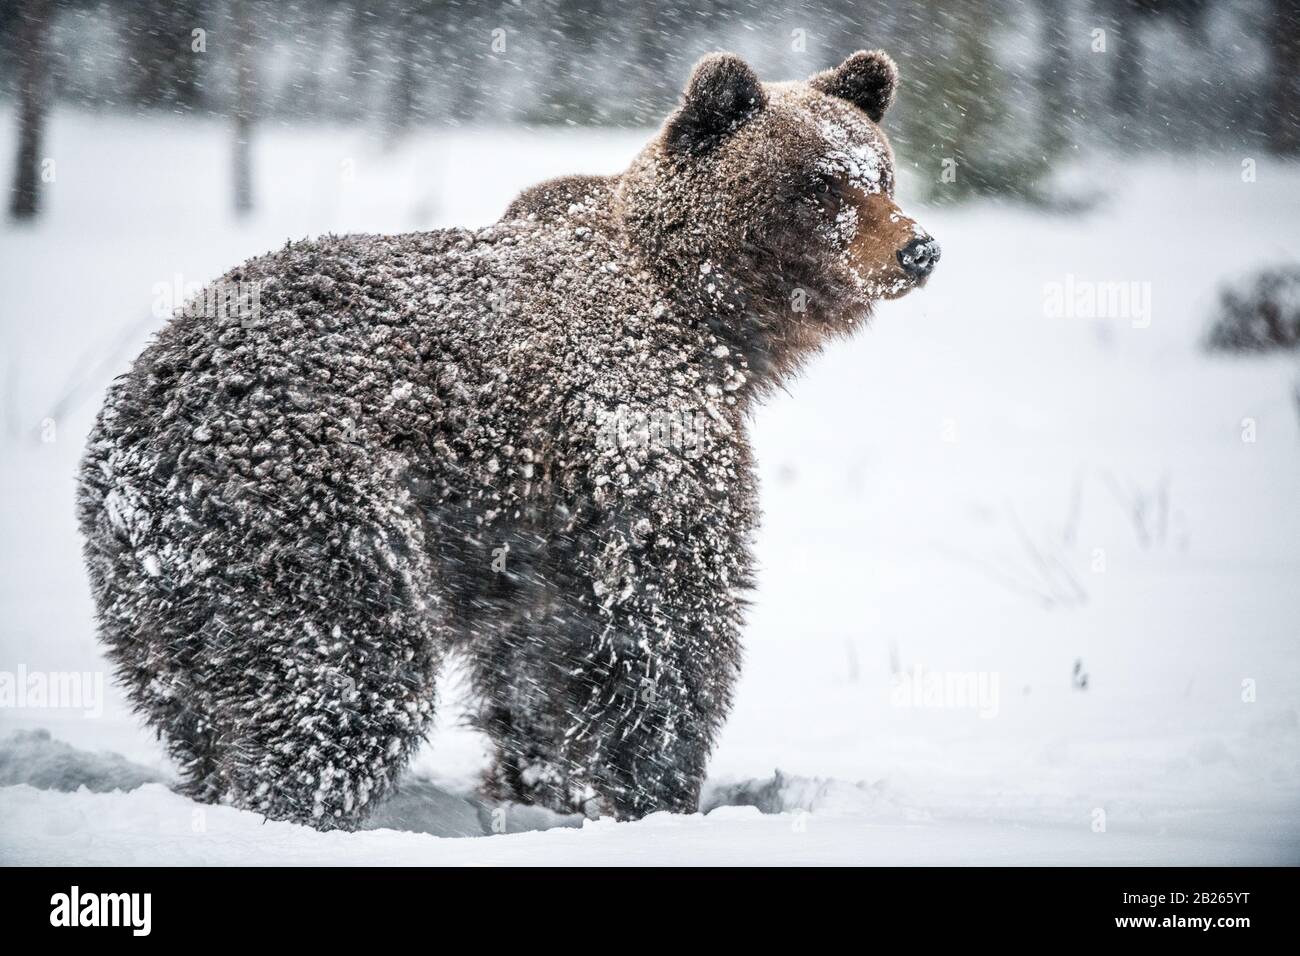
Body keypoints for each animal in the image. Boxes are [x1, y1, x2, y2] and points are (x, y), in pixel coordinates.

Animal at [77, 50, 939, 830]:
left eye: (881, 174)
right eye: (821, 182)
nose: (919, 248)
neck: (708, 317)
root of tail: (131, 440)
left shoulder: (533, 527)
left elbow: (541, 654)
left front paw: (544, 781)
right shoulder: (630, 427)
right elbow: (665, 624)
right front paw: (657, 792)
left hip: (162, 599)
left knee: (200, 699)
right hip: (305, 502)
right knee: (345, 675)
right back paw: (296, 803)